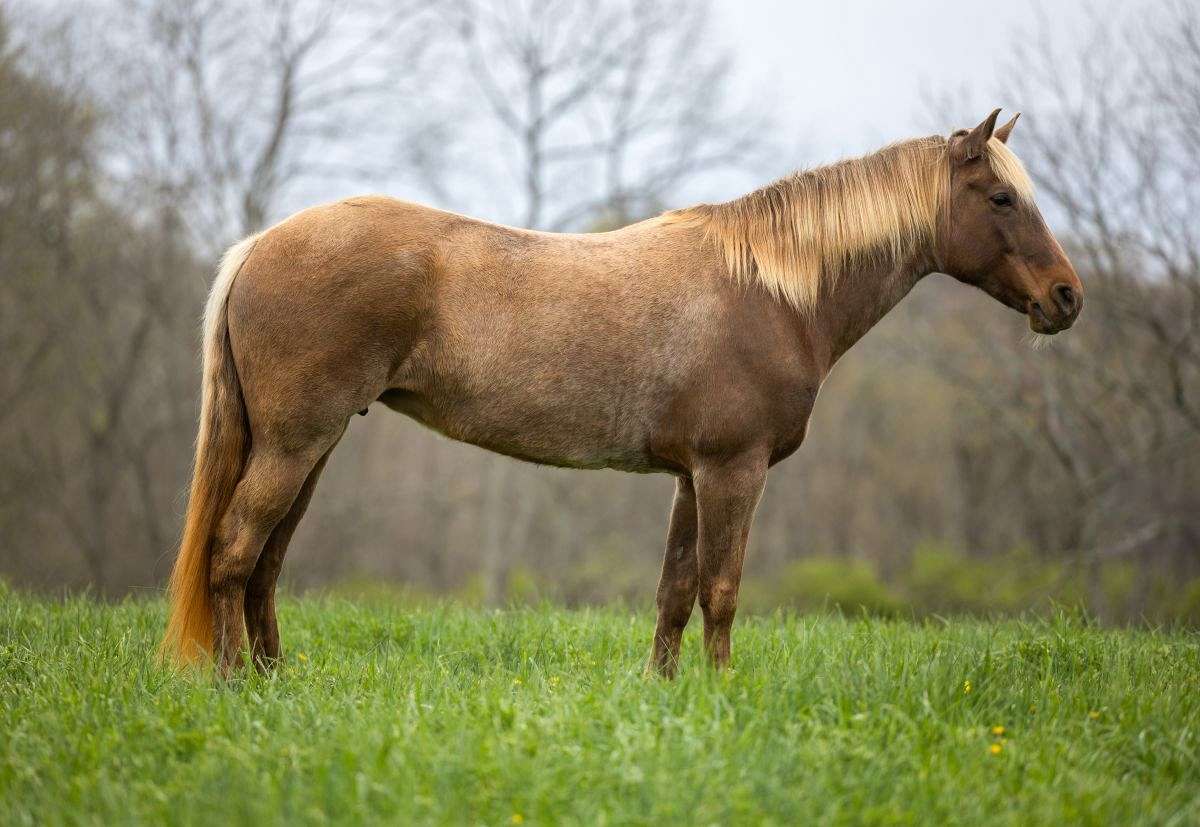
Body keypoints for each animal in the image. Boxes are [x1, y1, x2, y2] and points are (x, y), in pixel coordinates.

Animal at [160, 109, 1082, 677]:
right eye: (1002, 196)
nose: (1067, 297)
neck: (775, 290)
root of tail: (258, 245)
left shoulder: (690, 477)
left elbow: (674, 591)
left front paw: (665, 693)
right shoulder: (733, 470)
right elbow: (721, 589)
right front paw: (720, 694)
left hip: (311, 447)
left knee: (265, 562)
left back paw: (275, 679)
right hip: (296, 444)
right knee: (235, 552)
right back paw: (240, 684)